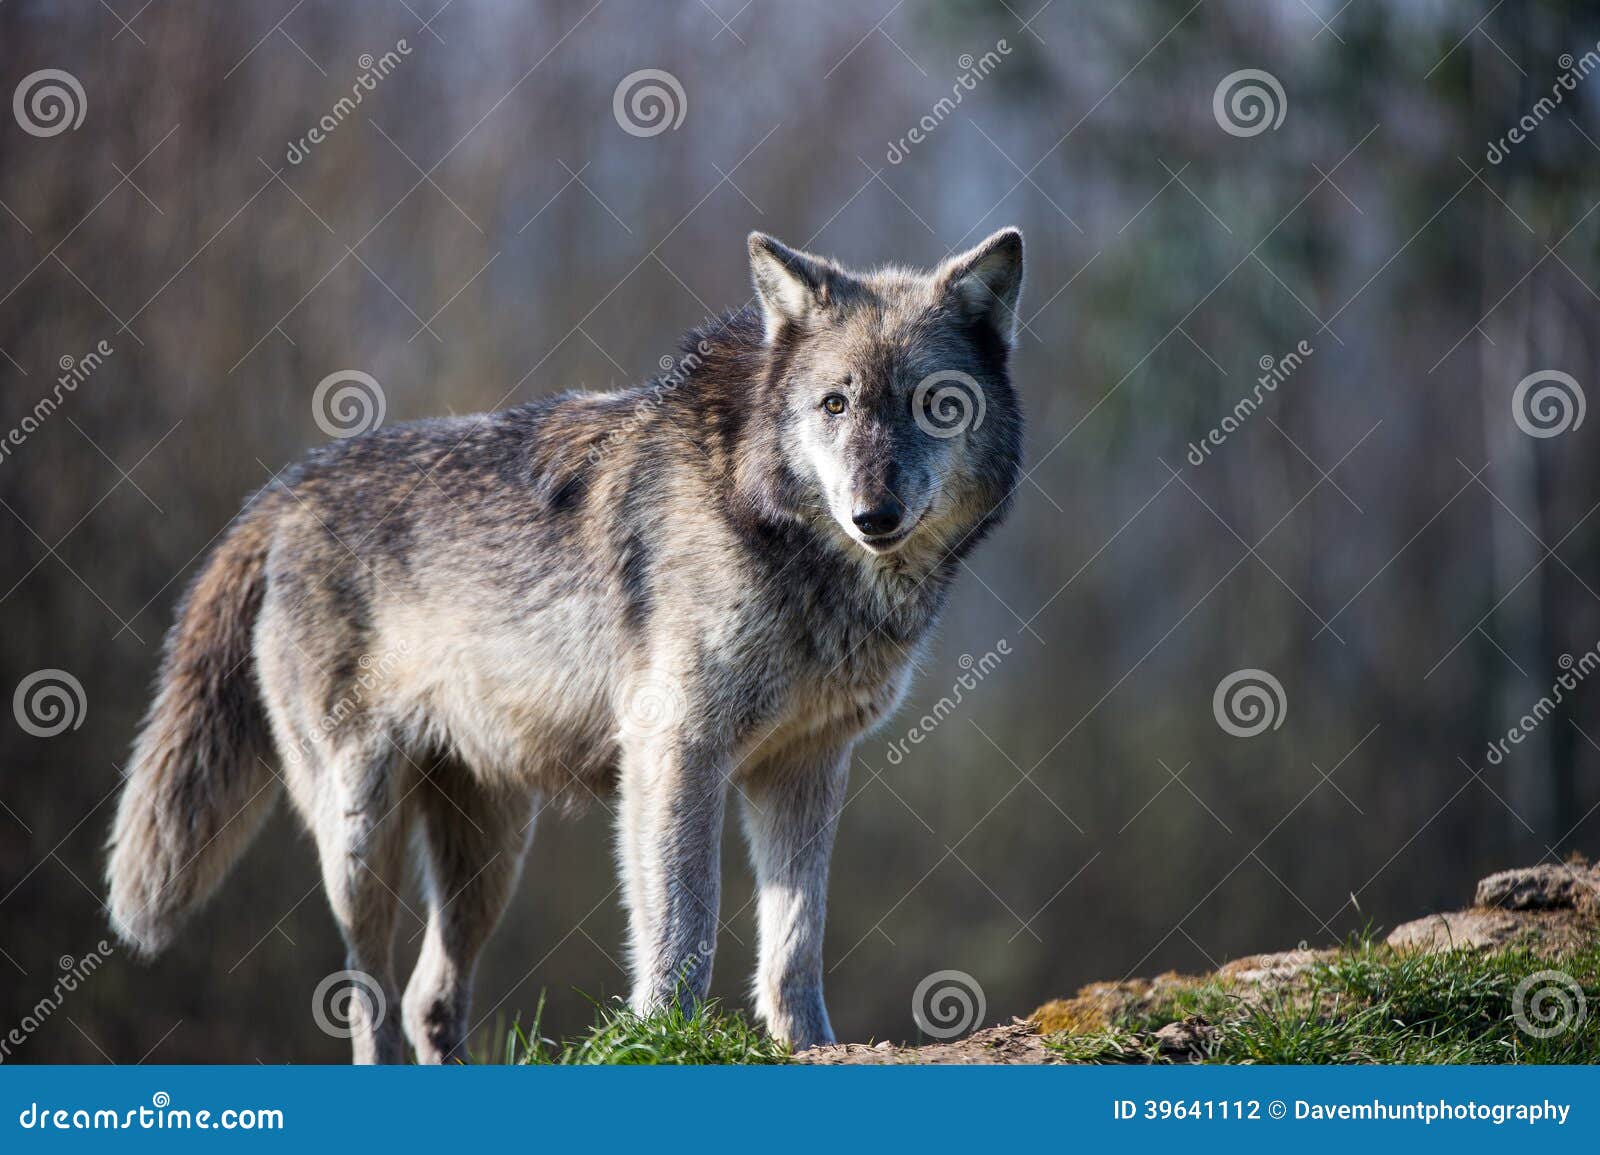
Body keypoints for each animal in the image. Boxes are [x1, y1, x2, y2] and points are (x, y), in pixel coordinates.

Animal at [106, 227, 1025, 1062]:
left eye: (935, 404)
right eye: (836, 404)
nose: (875, 513)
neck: (773, 524)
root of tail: (286, 488)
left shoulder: (806, 764)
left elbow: (796, 934)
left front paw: (809, 1045)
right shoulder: (674, 748)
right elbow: (684, 921)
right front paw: (665, 1037)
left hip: (492, 850)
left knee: (428, 995)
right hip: (363, 832)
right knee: (367, 994)